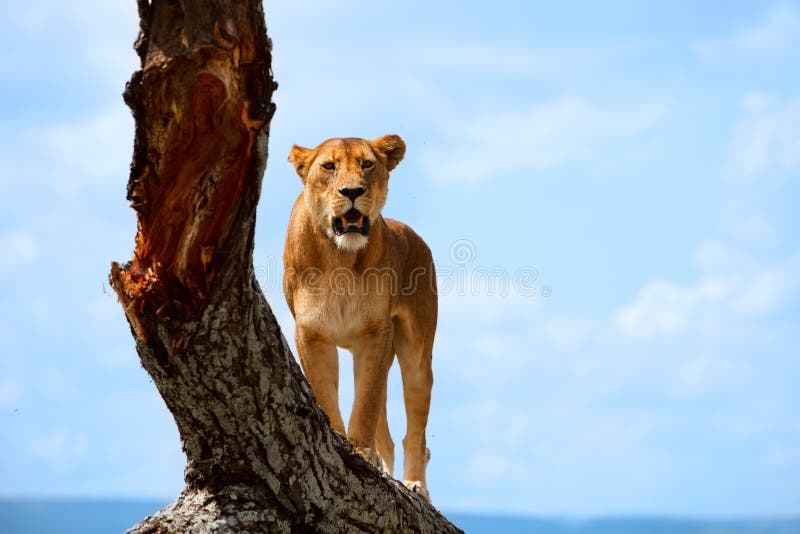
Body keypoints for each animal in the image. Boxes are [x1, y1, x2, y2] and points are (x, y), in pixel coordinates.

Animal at [283, 134, 437, 500]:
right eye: (329, 166)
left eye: (367, 164)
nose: (352, 191)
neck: (340, 256)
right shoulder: (311, 334)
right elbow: (326, 393)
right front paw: (339, 441)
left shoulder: (375, 334)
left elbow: (365, 404)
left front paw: (361, 452)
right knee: (389, 437)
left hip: (415, 353)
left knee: (416, 434)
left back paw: (414, 484)